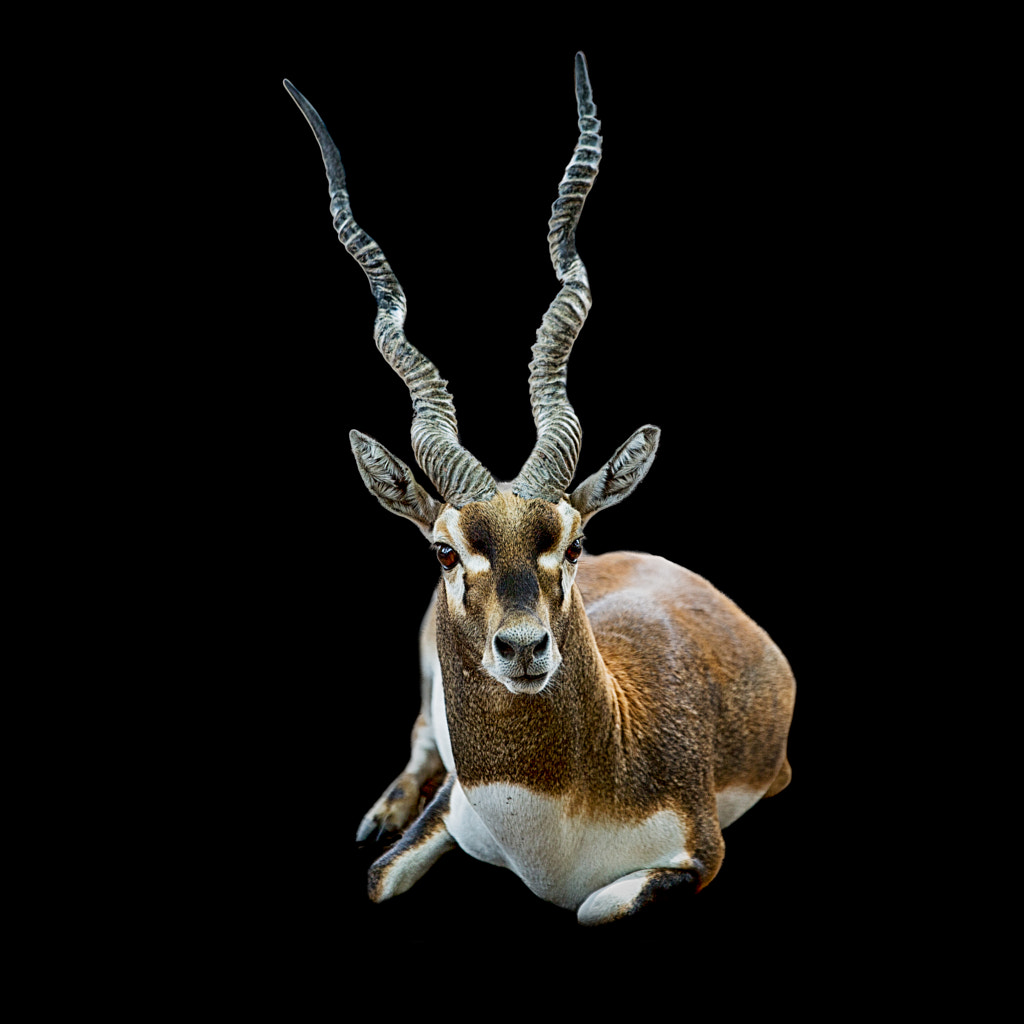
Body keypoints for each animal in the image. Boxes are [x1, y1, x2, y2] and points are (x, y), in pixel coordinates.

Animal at [284, 53, 795, 926]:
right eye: (443, 551)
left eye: (574, 540)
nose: (523, 648)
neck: (551, 834)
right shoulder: (450, 809)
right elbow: (378, 876)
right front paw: (381, 832)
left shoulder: (697, 851)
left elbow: (594, 908)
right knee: (420, 736)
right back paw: (377, 811)